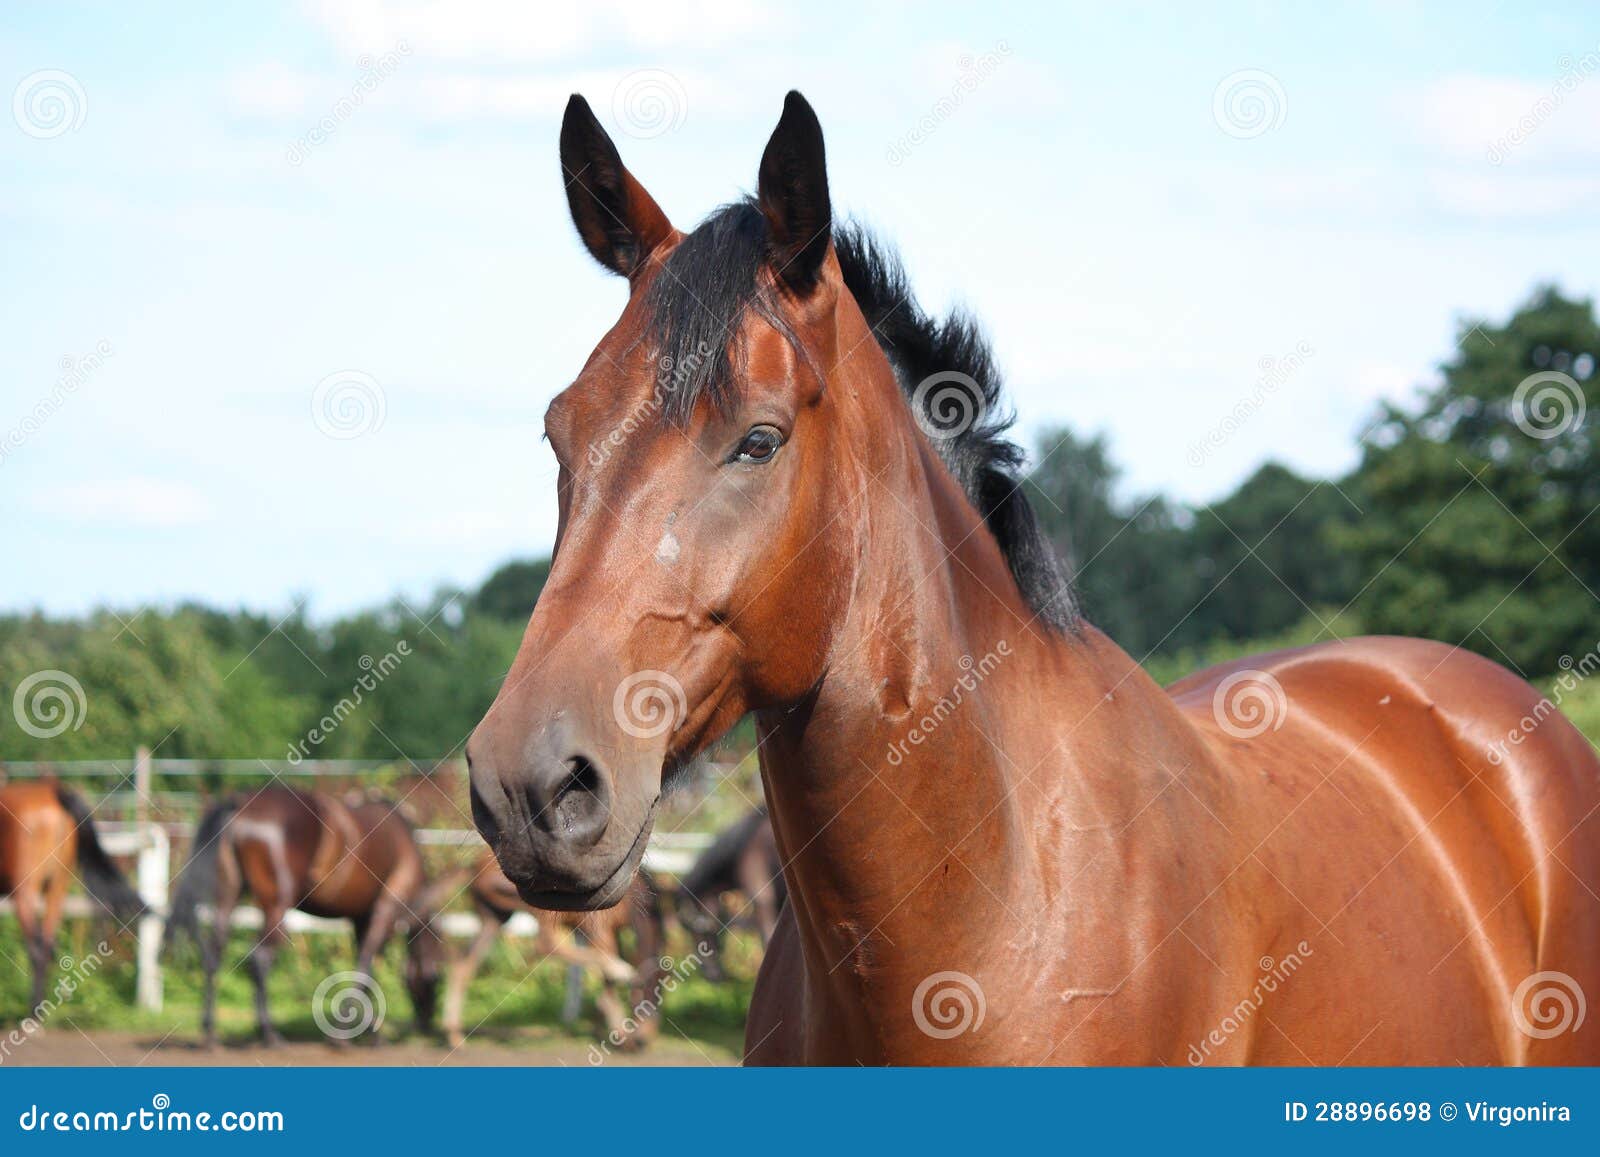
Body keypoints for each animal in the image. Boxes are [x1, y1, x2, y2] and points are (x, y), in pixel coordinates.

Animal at [164, 785, 444, 1047]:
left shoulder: (360, 919)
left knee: (214, 954)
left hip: (228, 897)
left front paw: (368, 1030)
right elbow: (365, 966)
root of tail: (241, 801)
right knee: (260, 959)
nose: (426, 1023)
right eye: (436, 979)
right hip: (276, 906)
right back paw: (269, 1033)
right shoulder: (384, 911)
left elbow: (368, 969)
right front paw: (348, 1034)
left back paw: (211, 1033)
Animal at [440, 852, 664, 1050]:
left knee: (464, 963)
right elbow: (607, 972)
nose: (646, 1039)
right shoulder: (598, 927)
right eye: (641, 991)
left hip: (495, 917)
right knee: (544, 945)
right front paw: (620, 1033)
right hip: (538, 908)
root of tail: (471, 865)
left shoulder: (610, 930)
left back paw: (454, 1036)